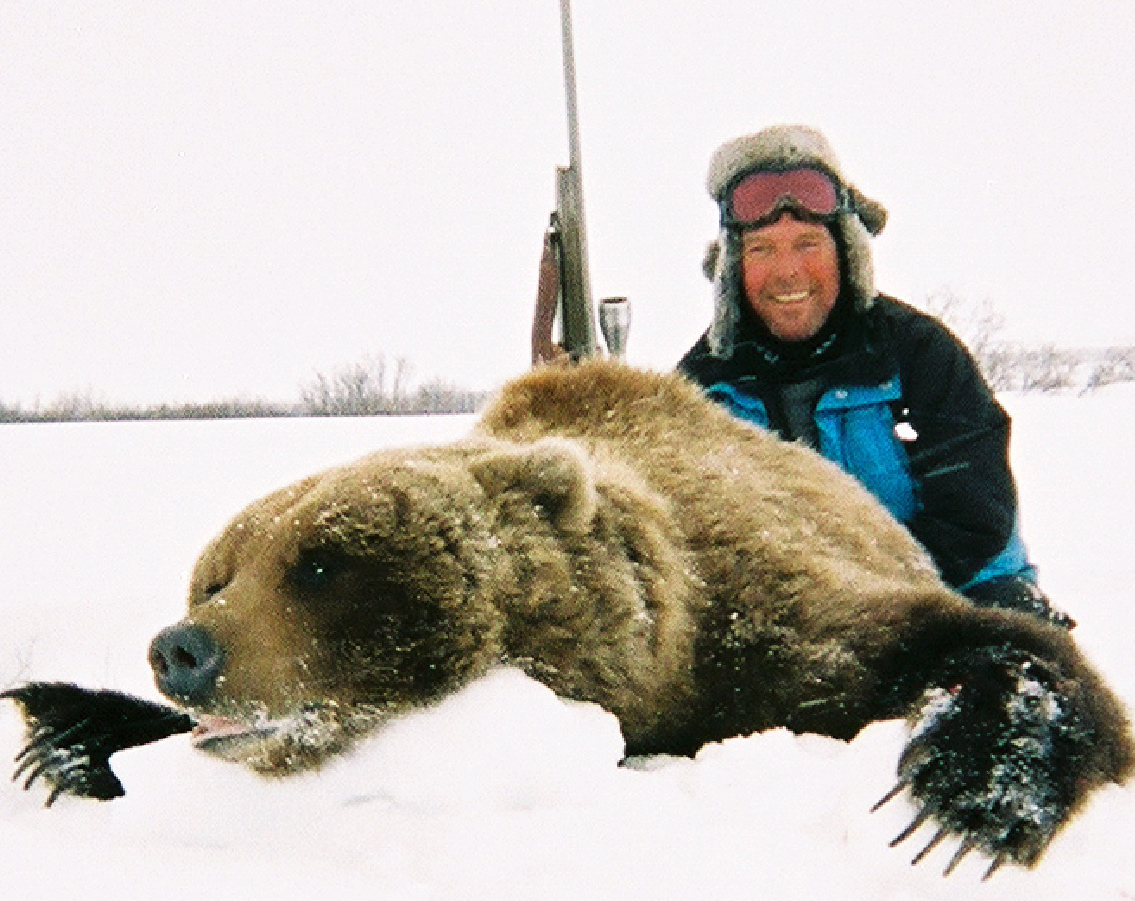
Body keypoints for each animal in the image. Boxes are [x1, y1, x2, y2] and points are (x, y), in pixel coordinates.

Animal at [148, 360, 1133, 875]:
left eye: (320, 561)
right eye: (216, 576)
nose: (180, 648)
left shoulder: (759, 617)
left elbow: (967, 639)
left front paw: (960, 800)